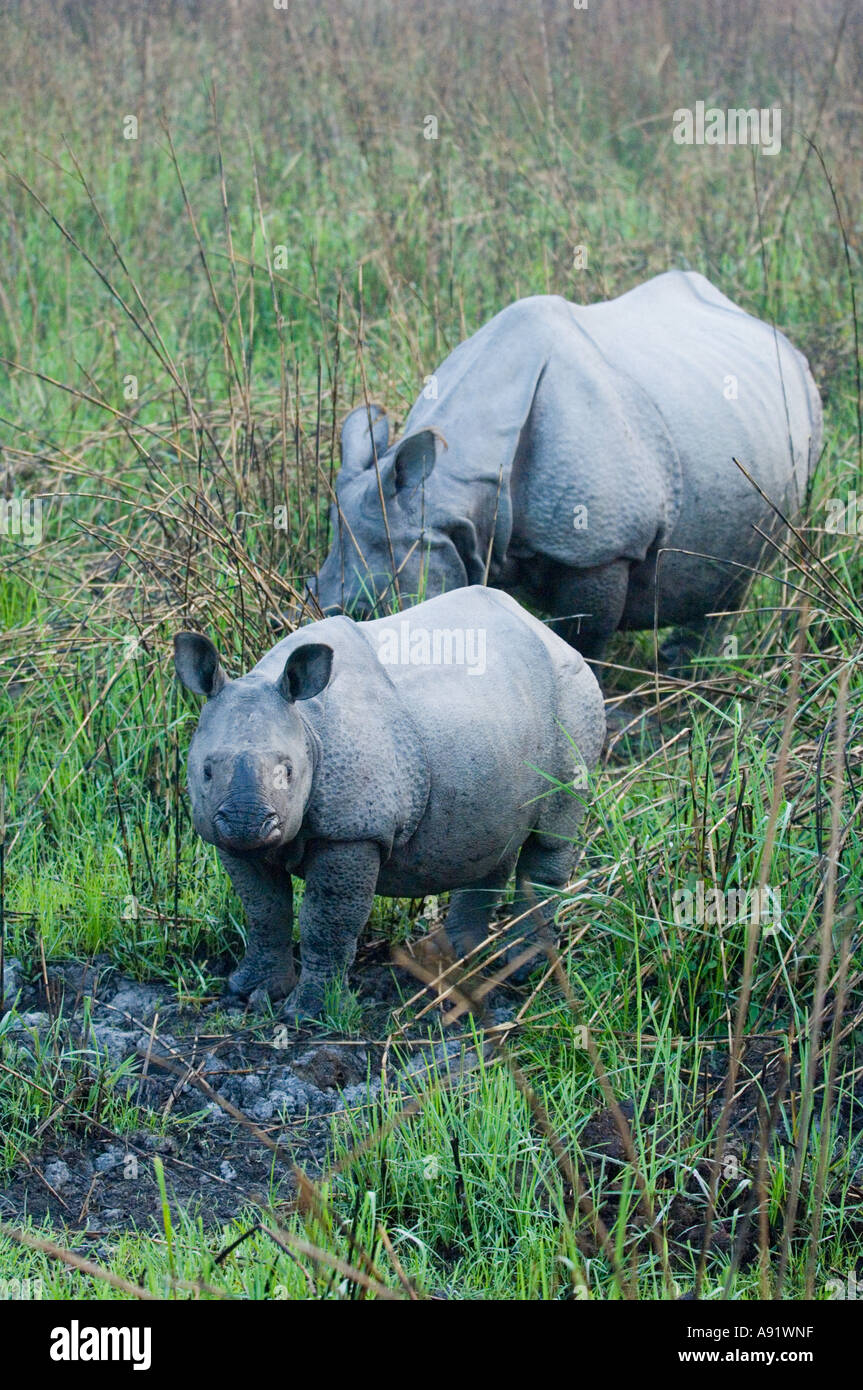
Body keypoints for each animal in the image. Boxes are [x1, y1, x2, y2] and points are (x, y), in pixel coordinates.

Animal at [174, 586, 605, 1021]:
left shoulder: (353, 832)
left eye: (289, 771)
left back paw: (521, 969)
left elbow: (326, 922)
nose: (246, 823)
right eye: (206, 771)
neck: (306, 725)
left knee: (552, 837)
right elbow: (263, 911)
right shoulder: (225, 835)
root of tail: (550, 634)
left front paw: (310, 1012)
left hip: (575, 703)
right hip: (497, 723)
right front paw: (250, 990)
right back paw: (460, 957)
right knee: (493, 838)